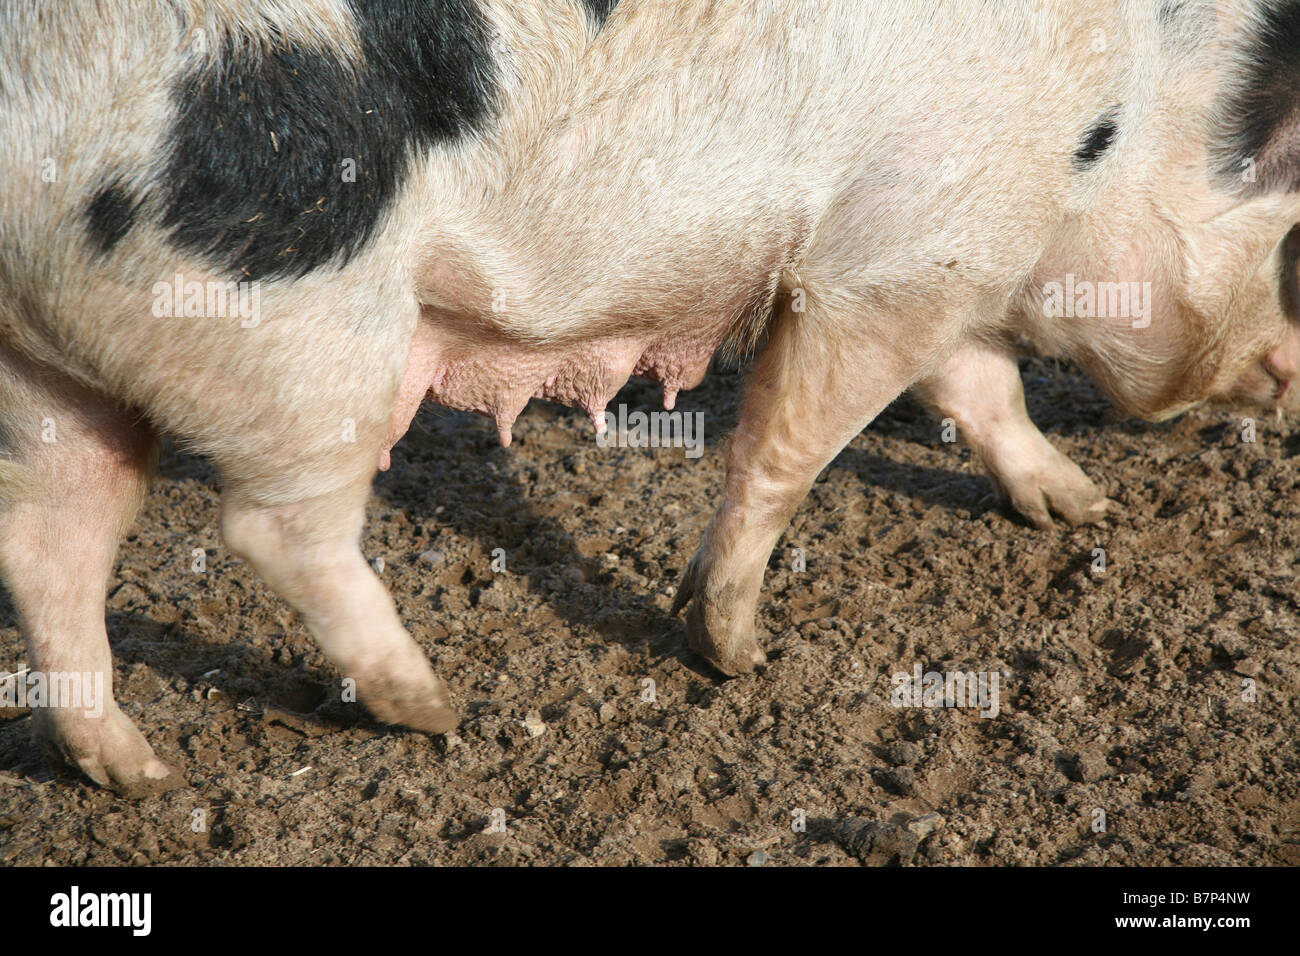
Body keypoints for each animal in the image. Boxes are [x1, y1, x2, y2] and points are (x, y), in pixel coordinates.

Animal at [0, 0, 614, 793]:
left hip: (41, 376)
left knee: (55, 523)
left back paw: (141, 775)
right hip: (310, 310)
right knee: (274, 525)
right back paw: (436, 711)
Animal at [387, 0, 1300, 678]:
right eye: (1291, 245)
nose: (1289, 374)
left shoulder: (945, 262)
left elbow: (980, 384)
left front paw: (1082, 510)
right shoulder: (892, 262)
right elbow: (784, 449)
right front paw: (735, 658)